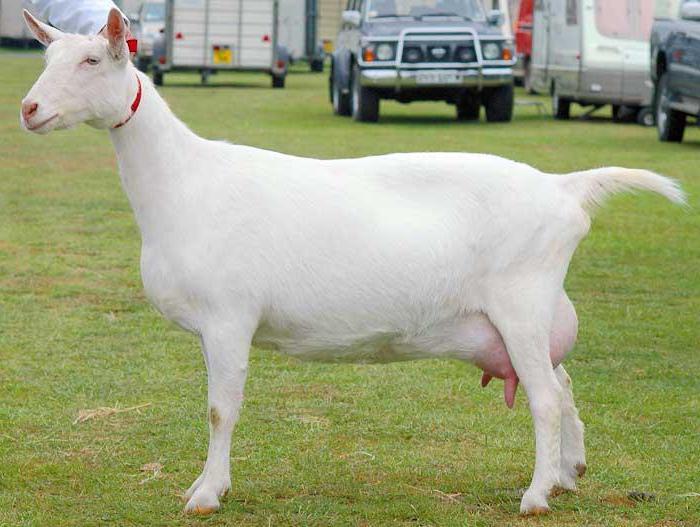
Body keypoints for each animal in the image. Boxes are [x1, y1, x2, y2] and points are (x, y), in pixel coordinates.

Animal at [19, 10, 688, 516]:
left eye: (92, 61)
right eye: (47, 60)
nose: (28, 110)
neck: (185, 181)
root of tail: (564, 188)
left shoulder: (229, 316)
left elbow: (219, 408)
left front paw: (206, 494)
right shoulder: (212, 328)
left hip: (521, 303)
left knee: (546, 397)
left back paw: (535, 496)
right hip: (536, 312)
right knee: (563, 384)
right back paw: (570, 473)